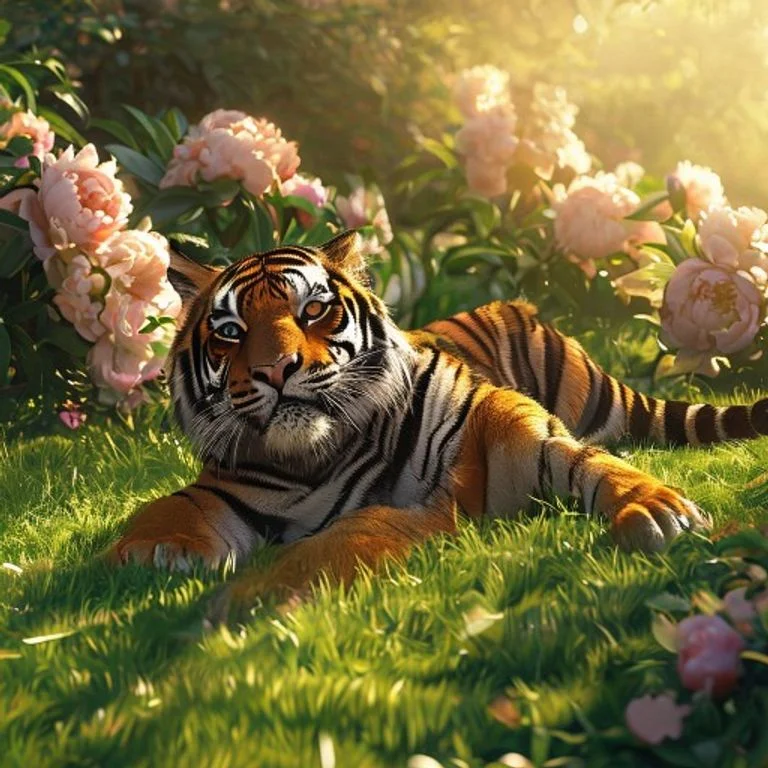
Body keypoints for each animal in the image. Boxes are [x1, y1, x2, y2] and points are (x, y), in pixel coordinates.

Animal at [108, 231, 768, 619]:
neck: (322, 453)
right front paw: (150, 551)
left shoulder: (455, 483)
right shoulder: (227, 485)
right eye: (230, 331)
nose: (276, 370)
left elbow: (342, 538)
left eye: (313, 309)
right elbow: (170, 507)